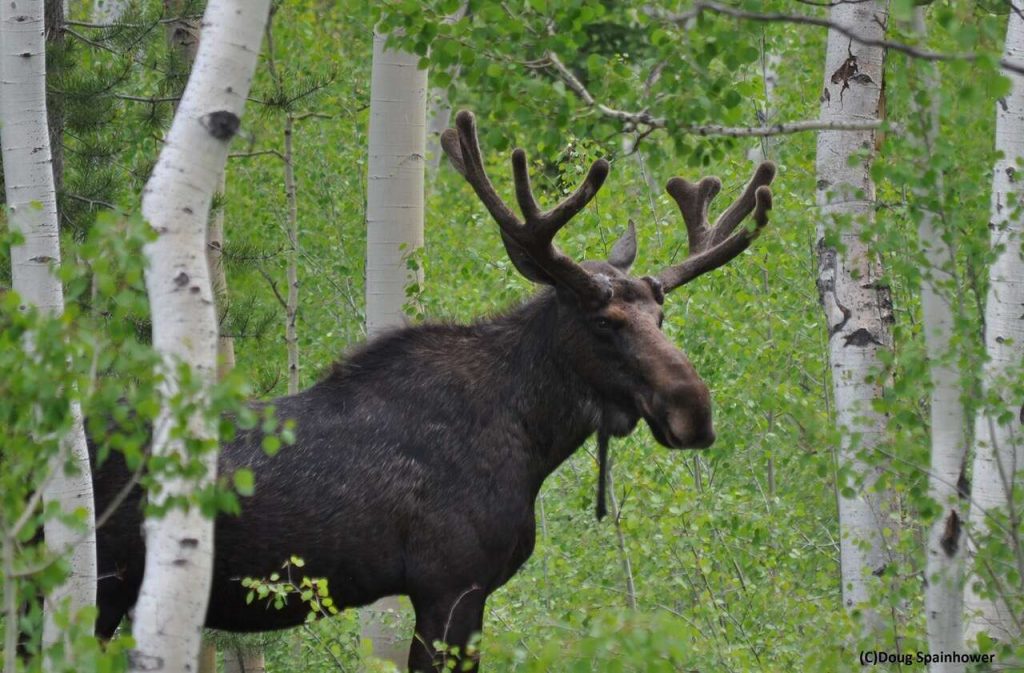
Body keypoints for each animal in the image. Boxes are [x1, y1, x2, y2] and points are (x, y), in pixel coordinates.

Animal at [91, 110, 776, 672]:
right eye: (604, 322)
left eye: (661, 316)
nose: (695, 412)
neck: (532, 443)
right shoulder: (449, 586)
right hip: (101, 583)